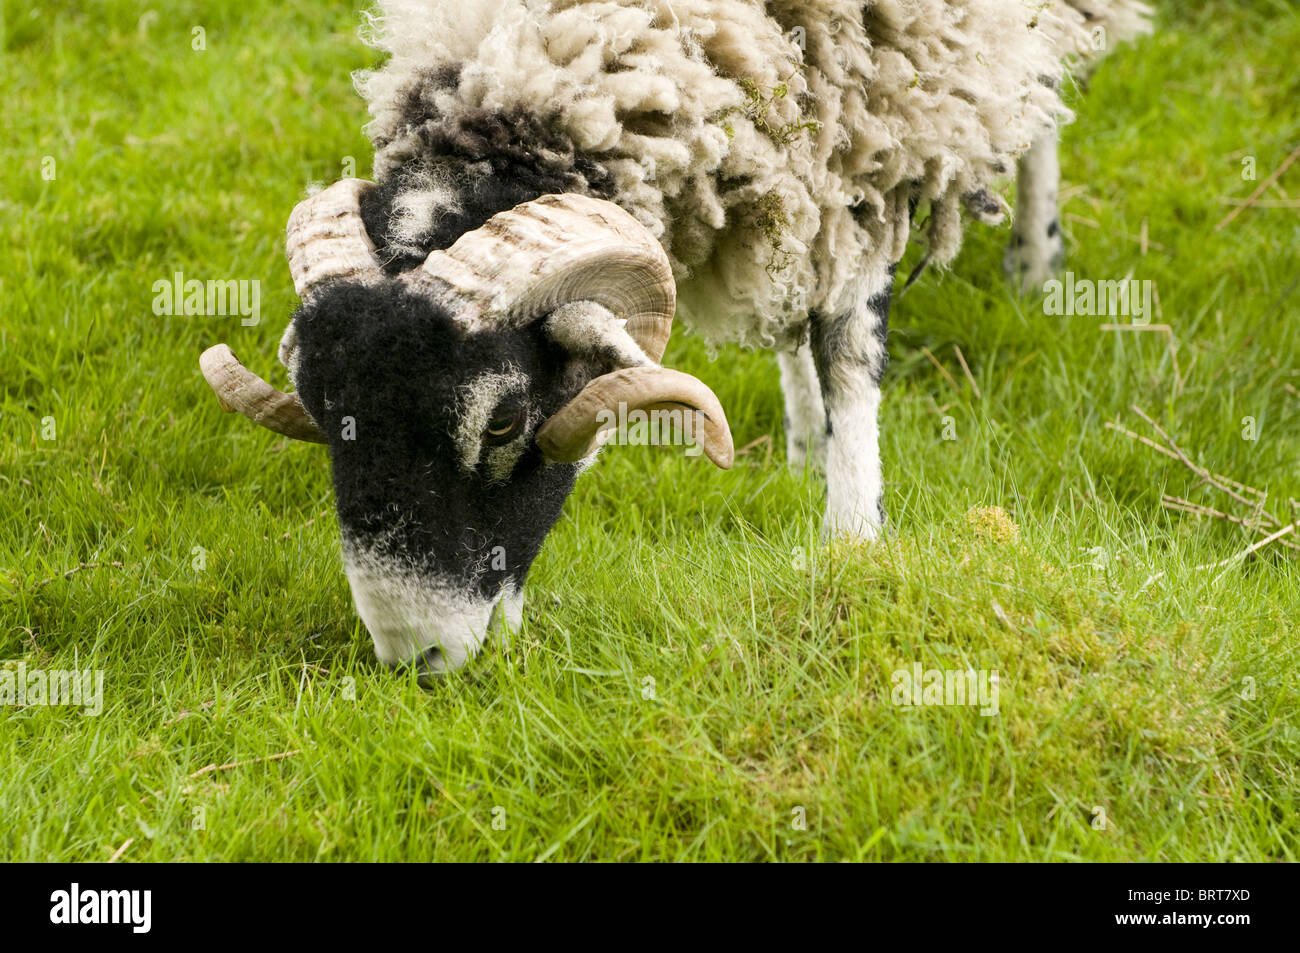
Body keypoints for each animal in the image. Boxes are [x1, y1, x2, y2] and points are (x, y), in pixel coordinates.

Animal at [201, 0, 1151, 676]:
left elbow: (847, 344)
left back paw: (1034, 253)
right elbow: (795, 286)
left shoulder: (886, 103)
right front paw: (806, 447)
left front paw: (854, 544)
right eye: (323, 410)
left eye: (503, 421)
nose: (416, 659)